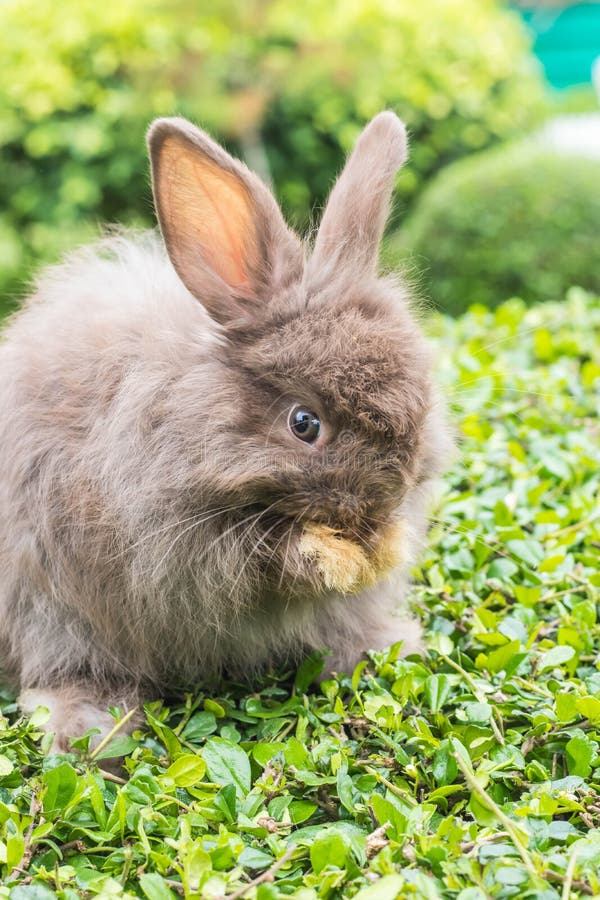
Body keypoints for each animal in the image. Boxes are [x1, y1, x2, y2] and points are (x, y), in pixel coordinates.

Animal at [0, 111, 451, 754]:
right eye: (304, 423)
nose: (374, 513)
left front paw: (380, 548)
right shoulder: (178, 539)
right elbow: (260, 559)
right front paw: (330, 554)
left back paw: (389, 648)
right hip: (49, 612)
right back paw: (90, 733)